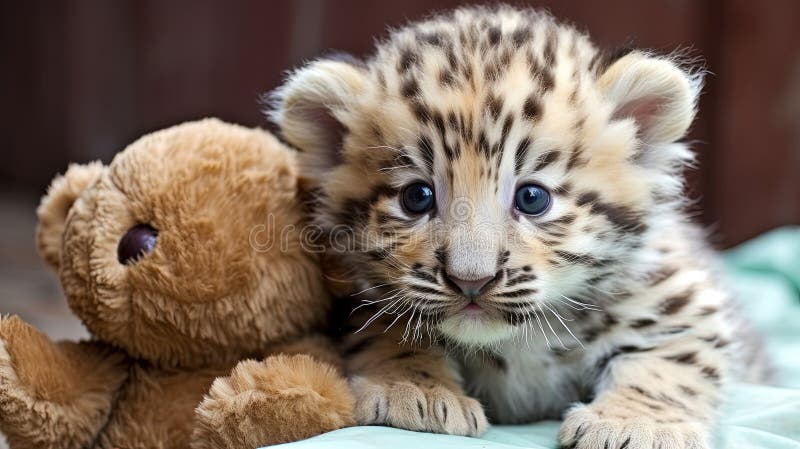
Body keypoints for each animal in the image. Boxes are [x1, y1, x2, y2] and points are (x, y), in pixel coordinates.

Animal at [269, 5, 771, 448]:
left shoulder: (675, 299)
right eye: (417, 197)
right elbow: (388, 334)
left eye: (532, 198)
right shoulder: (361, 298)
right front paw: (417, 390)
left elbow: (669, 361)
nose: (471, 280)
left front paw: (634, 425)